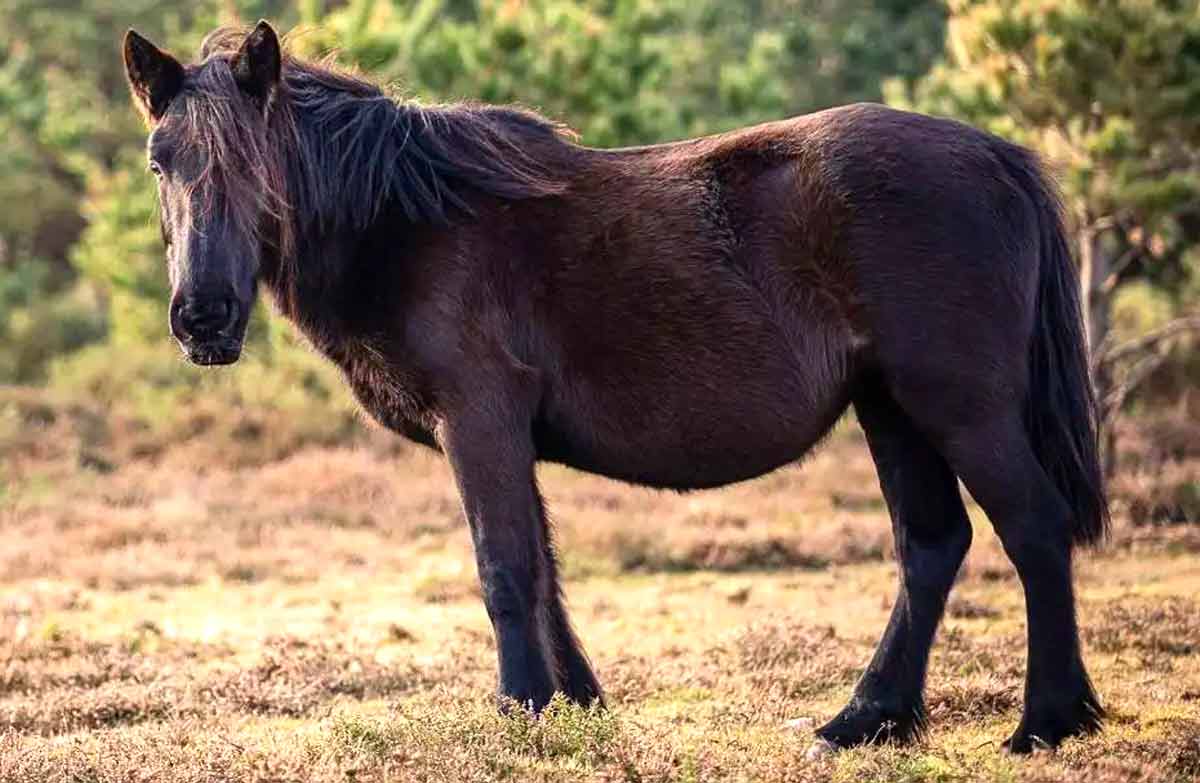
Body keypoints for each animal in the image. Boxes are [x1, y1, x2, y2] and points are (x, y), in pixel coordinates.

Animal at [122, 21, 1108, 753]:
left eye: (252, 160)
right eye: (160, 160)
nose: (203, 317)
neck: (412, 224)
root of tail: (998, 156)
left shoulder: (478, 420)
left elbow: (505, 568)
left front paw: (519, 712)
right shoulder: (508, 434)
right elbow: (545, 572)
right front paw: (573, 706)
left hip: (959, 407)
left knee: (1032, 527)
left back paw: (1047, 722)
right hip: (892, 408)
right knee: (932, 545)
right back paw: (866, 720)